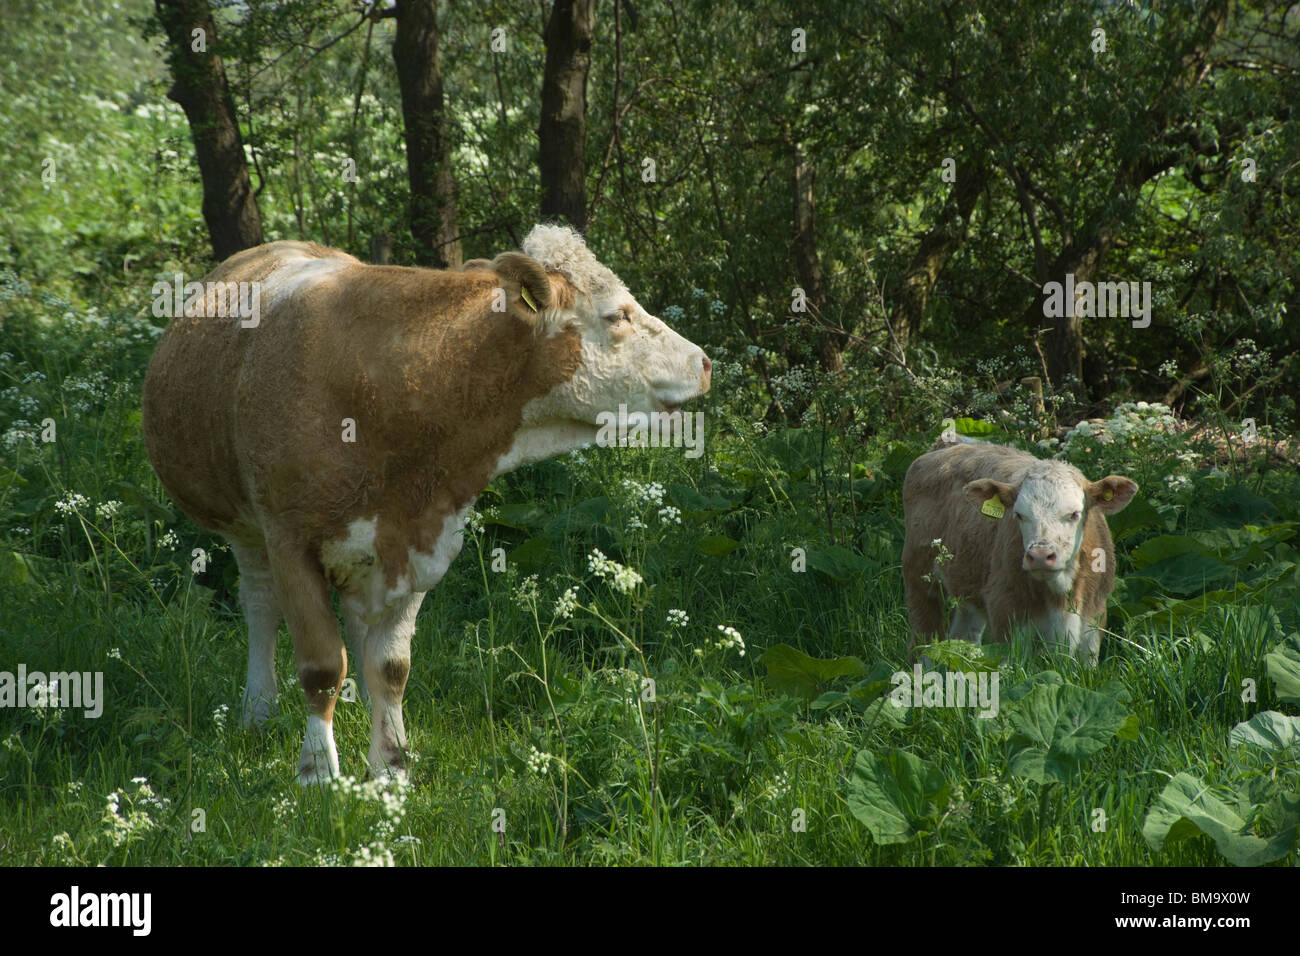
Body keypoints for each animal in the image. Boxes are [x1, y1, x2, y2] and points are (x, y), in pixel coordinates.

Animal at [141, 225, 711, 784]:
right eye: (618, 314)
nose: (704, 362)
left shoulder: (420, 545)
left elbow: (390, 665)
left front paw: (391, 769)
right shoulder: (290, 541)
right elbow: (321, 666)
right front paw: (318, 773)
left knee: (357, 627)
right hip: (246, 529)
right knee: (261, 607)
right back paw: (257, 711)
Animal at [901, 436, 1137, 665]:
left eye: (1074, 514)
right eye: (1019, 515)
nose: (1040, 556)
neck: (1059, 597)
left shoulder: (1093, 621)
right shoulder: (1006, 616)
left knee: (963, 639)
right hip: (919, 581)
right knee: (922, 646)